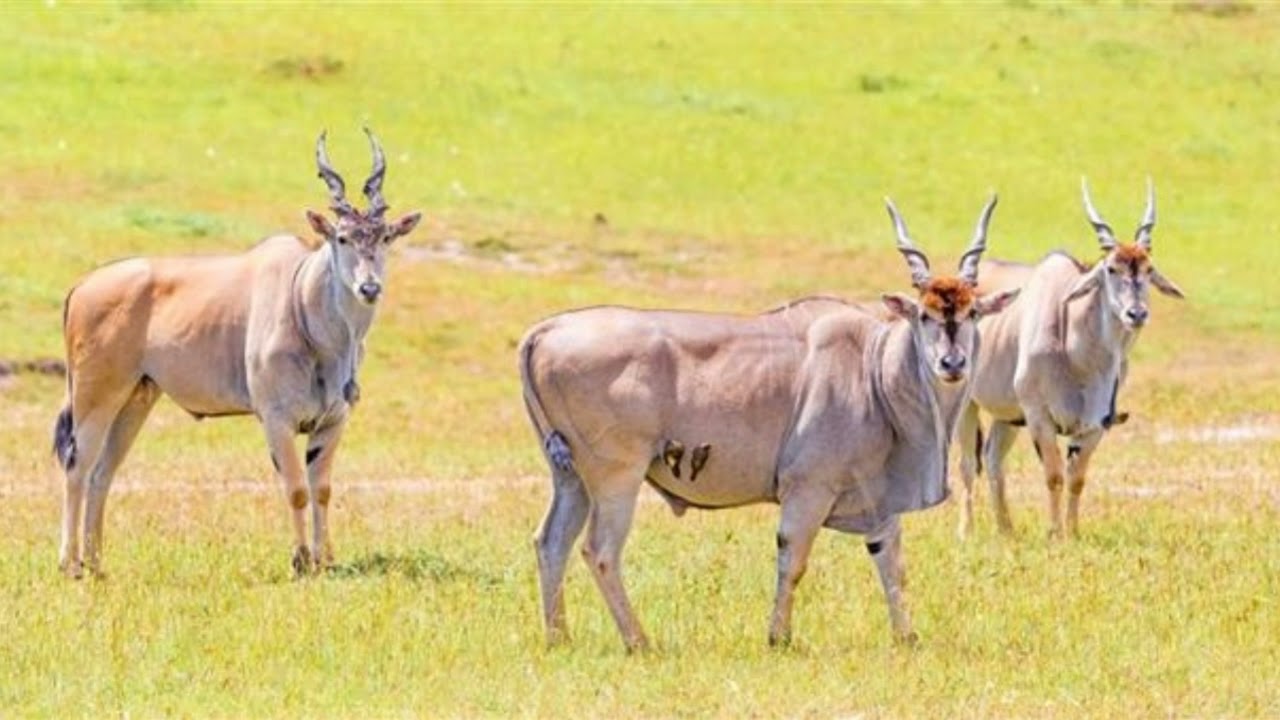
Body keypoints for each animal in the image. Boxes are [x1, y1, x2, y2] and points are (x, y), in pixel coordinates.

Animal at [53, 130, 422, 578]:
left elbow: (322, 489)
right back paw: (70, 564)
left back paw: (96, 563)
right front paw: (301, 560)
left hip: (135, 399)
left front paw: (324, 560)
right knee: (78, 465)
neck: (304, 302)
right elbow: (297, 490)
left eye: (385, 237)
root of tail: (82, 286)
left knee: (102, 474)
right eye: (343, 237)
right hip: (96, 395)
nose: (369, 287)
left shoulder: (333, 421)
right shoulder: (277, 419)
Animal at [518, 196, 1019, 652]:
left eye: (972, 312)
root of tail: (544, 331)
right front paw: (778, 638)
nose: (952, 363)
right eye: (925, 315)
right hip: (616, 476)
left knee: (551, 542)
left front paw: (907, 638)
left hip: (570, 477)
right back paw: (639, 642)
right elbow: (792, 560)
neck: (873, 369)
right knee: (599, 550)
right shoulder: (808, 489)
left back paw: (558, 639)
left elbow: (892, 564)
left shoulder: (878, 500)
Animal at [956, 179, 1184, 539]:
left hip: (1008, 417)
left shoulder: (1095, 424)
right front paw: (1055, 534)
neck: (1080, 357)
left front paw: (1073, 534)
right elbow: (1054, 476)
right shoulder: (1040, 418)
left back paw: (1007, 531)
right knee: (968, 464)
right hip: (969, 406)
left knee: (993, 459)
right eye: (1111, 269)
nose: (1136, 314)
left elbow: (1077, 478)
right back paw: (967, 532)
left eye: (1148, 270)